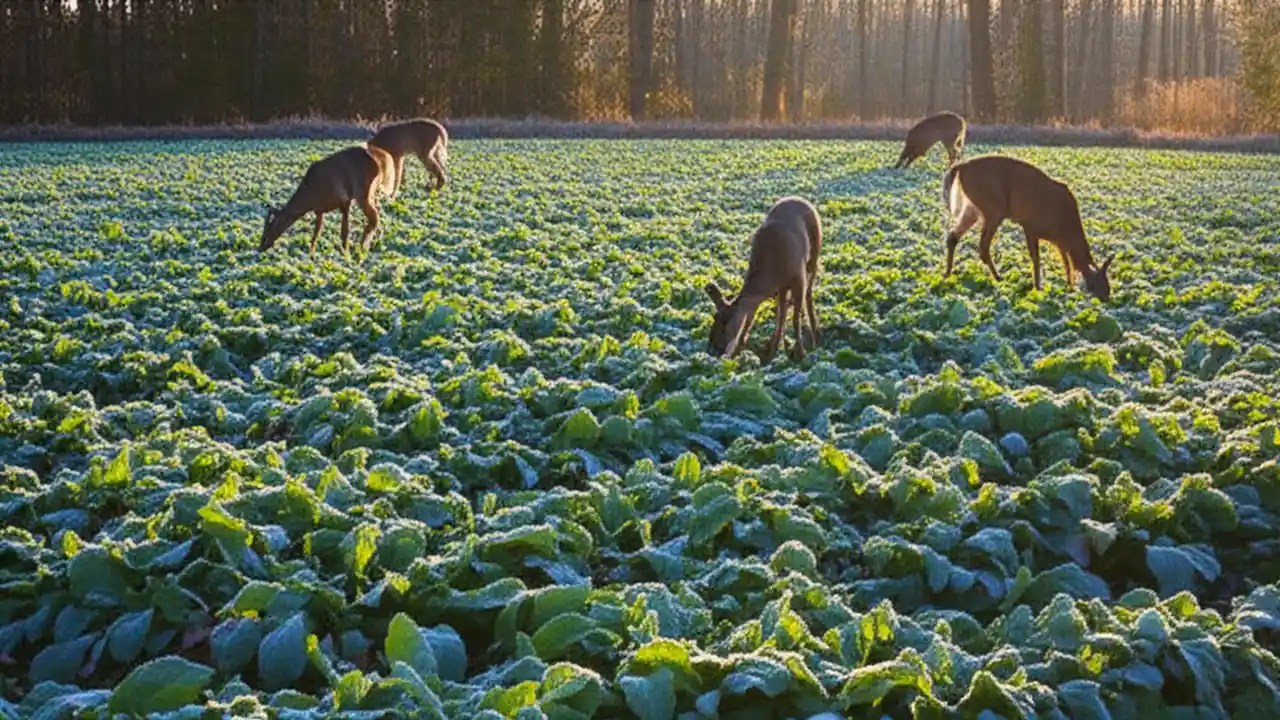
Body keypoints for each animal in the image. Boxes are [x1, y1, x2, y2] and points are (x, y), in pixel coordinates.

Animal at [259, 144, 395, 258]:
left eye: (267, 231)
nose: (260, 248)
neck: (308, 195)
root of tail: (384, 160)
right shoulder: (320, 209)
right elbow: (316, 233)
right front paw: (311, 255)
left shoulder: (344, 200)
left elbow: (344, 232)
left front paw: (345, 255)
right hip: (372, 192)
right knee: (378, 214)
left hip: (363, 191)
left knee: (374, 218)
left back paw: (361, 250)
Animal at [704, 197, 822, 361]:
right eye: (714, 317)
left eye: (724, 322)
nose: (712, 348)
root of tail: (802, 199)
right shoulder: (780, 286)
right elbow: (777, 315)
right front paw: (771, 350)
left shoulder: (798, 278)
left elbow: (795, 317)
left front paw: (799, 352)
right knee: (785, 308)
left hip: (814, 254)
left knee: (809, 293)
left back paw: (815, 334)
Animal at [942, 154, 1116, 302]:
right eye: (1097, 284)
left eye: (1108, 284)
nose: (1106, 298)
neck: (1065, 226)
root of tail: (961, 167)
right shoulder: (1030, 225)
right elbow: (1037, 258)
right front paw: (1038, 287)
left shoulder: (1059, 241)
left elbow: (1066, 262)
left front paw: (1070, 285)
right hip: (993, 208)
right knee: (982, 246)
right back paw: (998, 278)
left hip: (973, 208)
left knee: (953, 236)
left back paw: (947, 274)